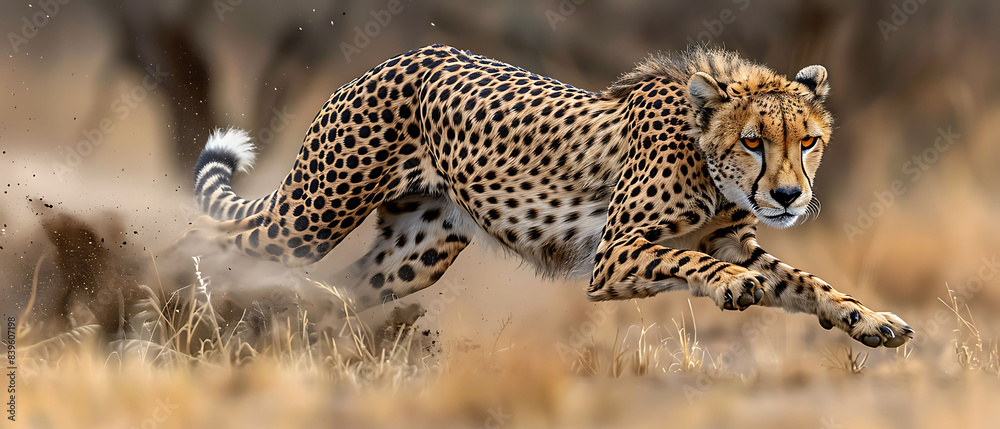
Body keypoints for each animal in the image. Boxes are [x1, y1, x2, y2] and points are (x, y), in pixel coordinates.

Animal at [192, 44, 913, 348]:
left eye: (810, 140)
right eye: (755, 141)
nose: (789, 196)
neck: (708, 158)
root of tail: (395, 57)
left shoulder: (736, 238)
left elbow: (808, 281)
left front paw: (871, 320)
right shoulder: (615, 254)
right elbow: (691, 260)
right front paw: (732, 286)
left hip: (415, 252)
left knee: (341, 289)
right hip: (313, 211)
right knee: (213, 239)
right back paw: (192, 311)